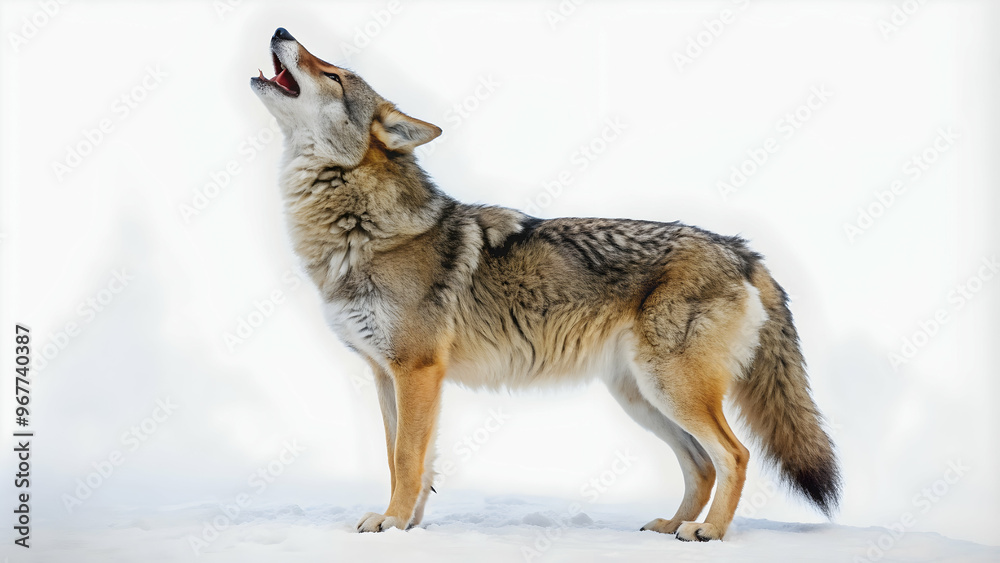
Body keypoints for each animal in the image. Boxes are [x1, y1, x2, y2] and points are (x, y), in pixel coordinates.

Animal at [251, 27, 841, 541]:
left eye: (333, 74)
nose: (280, 28)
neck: (361, 228)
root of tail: (738, 248)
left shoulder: (417, 371)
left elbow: (407, 458)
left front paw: (392, 524)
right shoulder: (386, 374)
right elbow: (404, 460)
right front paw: (408, 526)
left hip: (671, 390)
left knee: (734, 455)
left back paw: (708, 533)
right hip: (643, 398)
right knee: (702, 465)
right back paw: (671, 526)